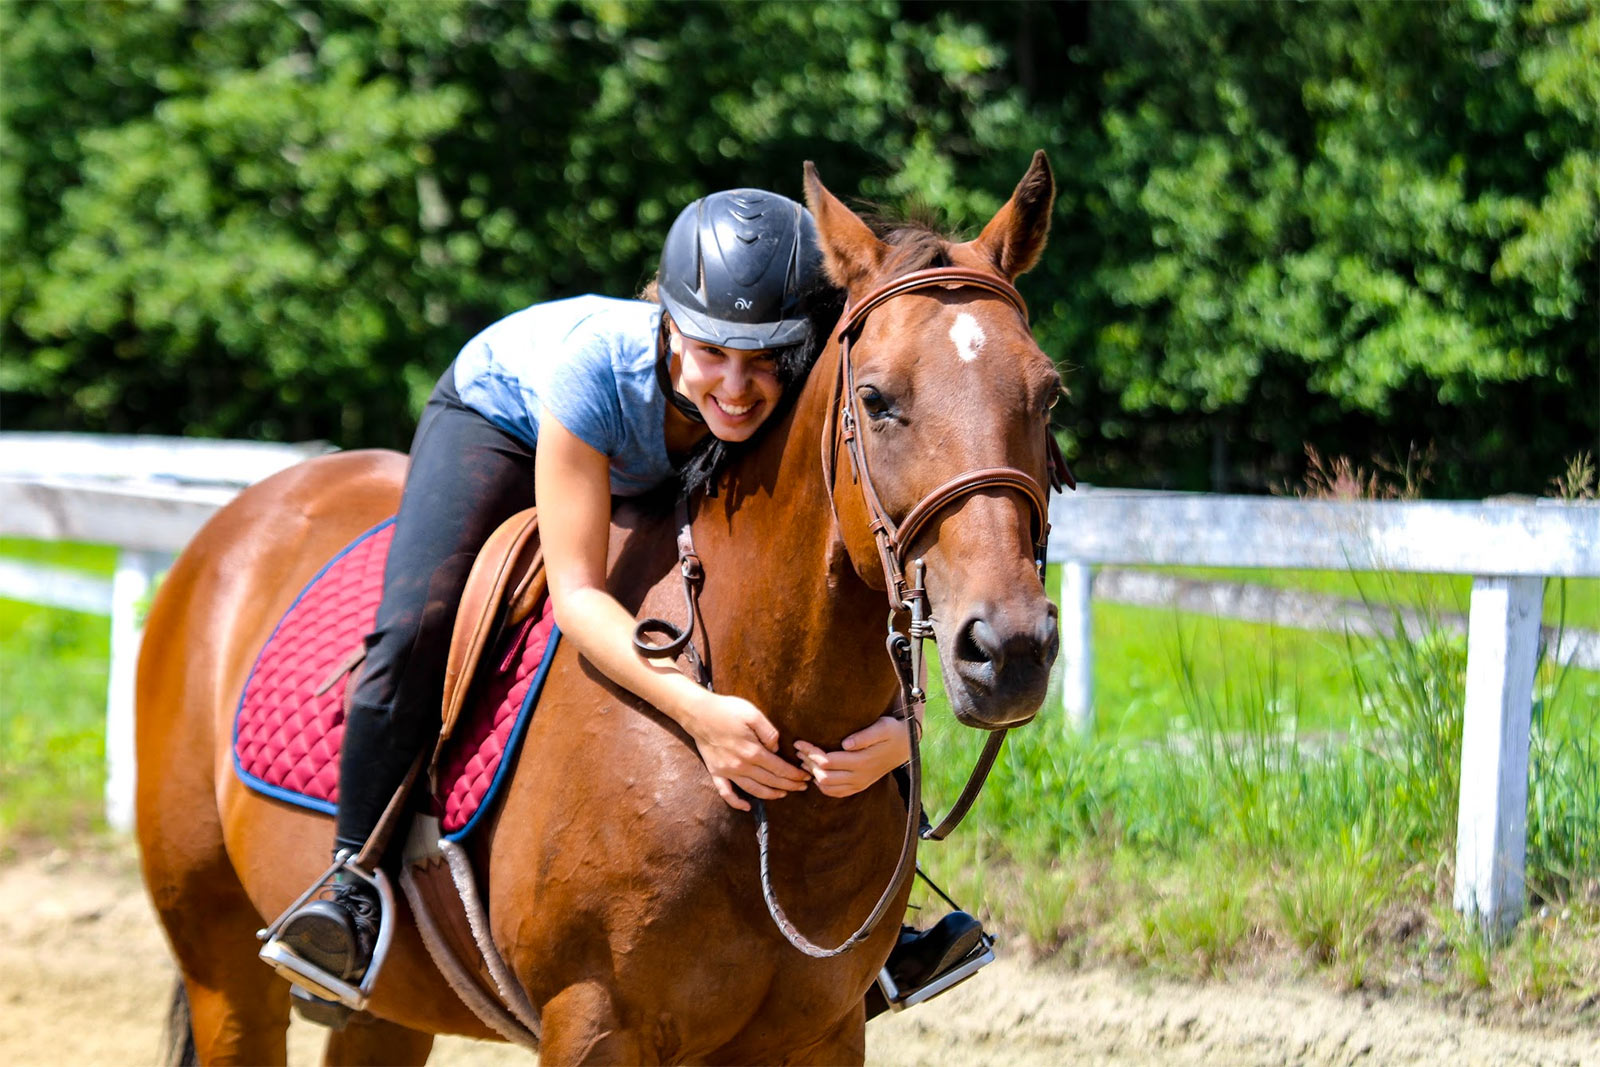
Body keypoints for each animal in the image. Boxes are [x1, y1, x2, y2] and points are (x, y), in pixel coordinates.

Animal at [135, 152, 1062, 1065]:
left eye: (1048, 394)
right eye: (875, 398)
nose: (1009, 648)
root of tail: (237, 519)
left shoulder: (822, 1032)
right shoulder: (593, 1023)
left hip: (389, 1011)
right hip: (224, 968)